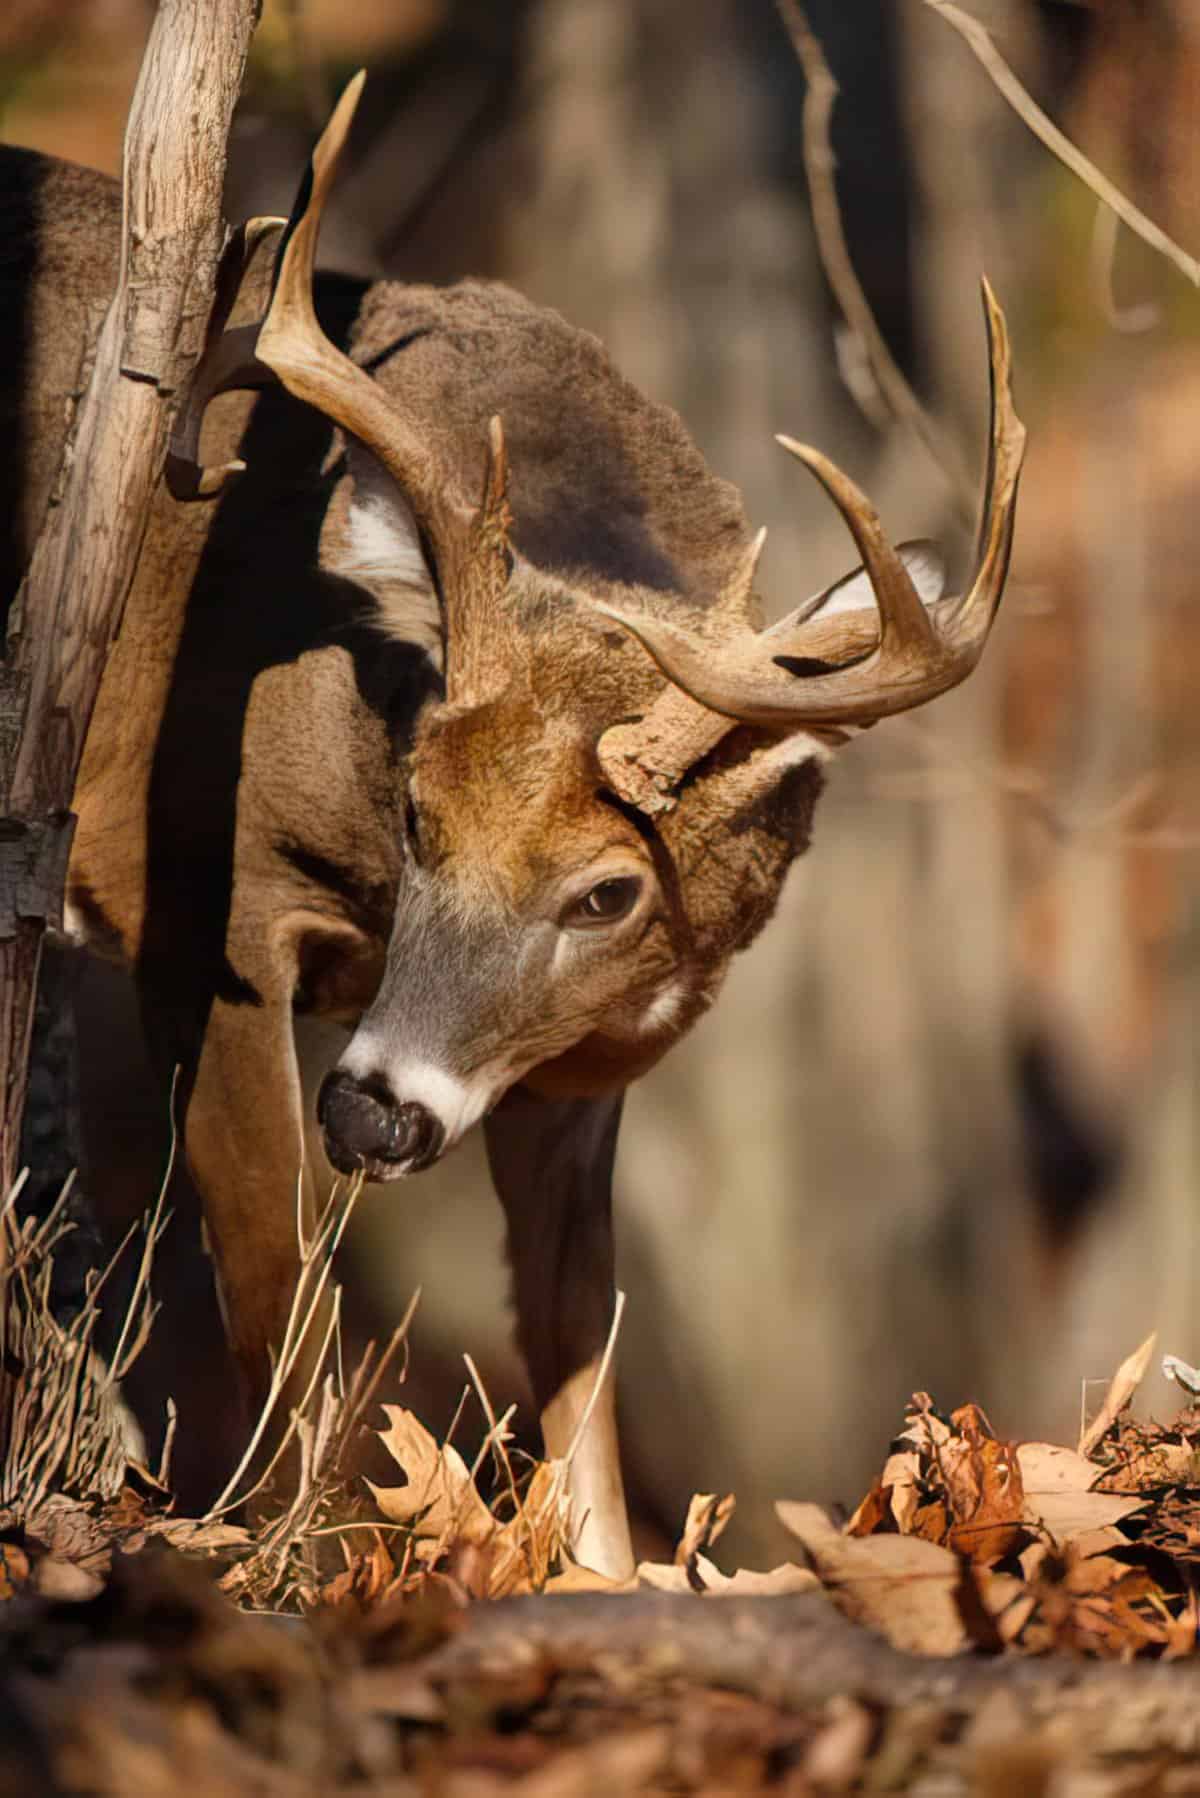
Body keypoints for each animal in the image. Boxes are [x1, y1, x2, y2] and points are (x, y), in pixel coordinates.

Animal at [3, 76, 1024, 1578]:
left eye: (609, 893)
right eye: (415, 808)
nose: (372, 1110)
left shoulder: (586, 1066)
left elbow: (579, 1364)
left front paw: (602, 1574)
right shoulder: (209, 907)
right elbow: (284, 1304)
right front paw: (306, 1563)